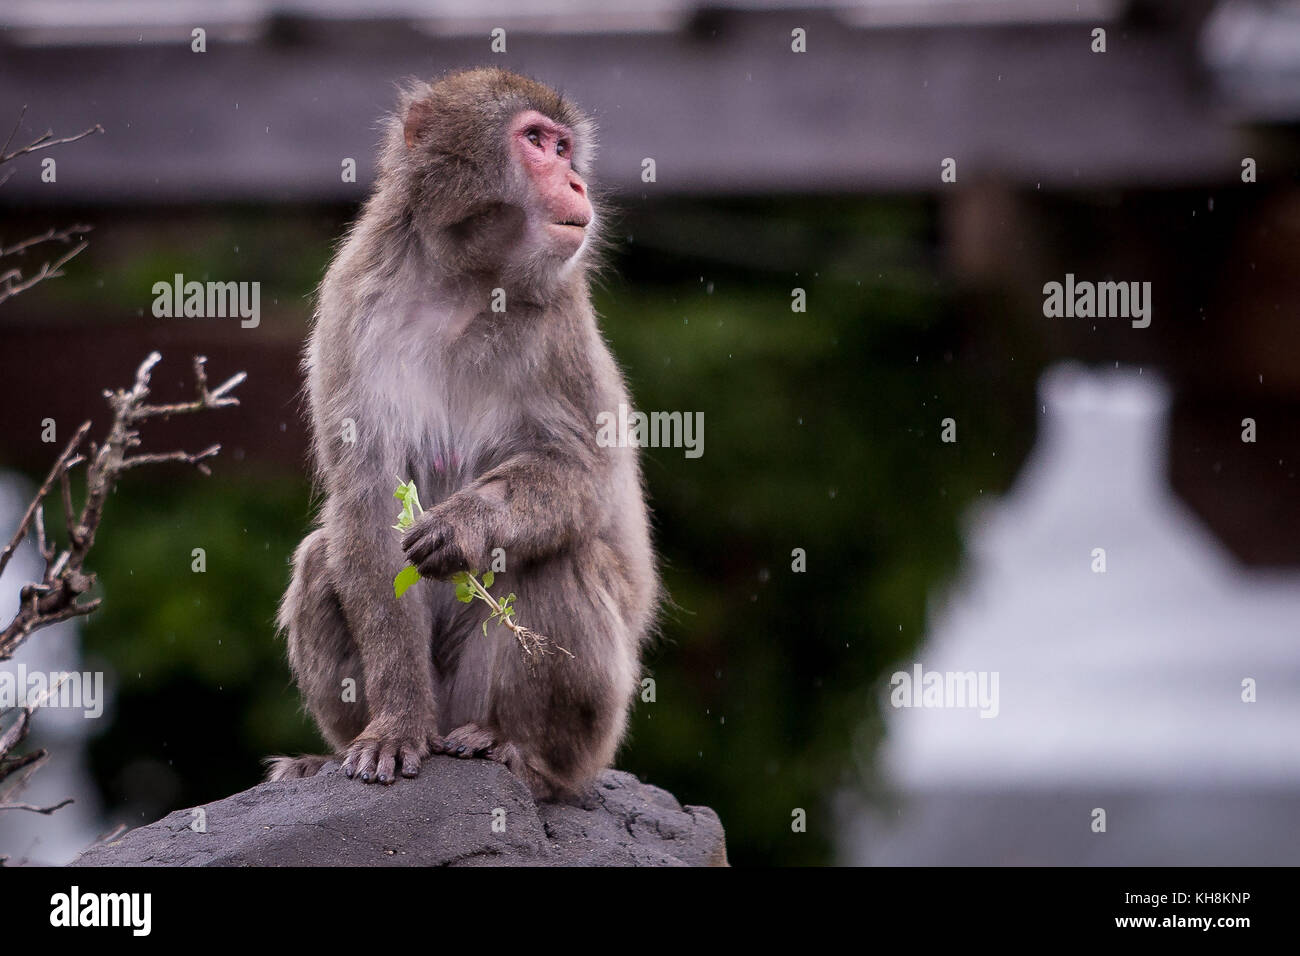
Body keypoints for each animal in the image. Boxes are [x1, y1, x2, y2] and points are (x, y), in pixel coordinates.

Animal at [264, 68, 658, 801]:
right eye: (537, 141)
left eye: (566, 147)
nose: (577, 182)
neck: (465, 283)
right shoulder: (352, 299)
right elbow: (367, 505)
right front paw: (395, 722)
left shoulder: (561, 319)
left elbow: (585, 477)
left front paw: (468, 522)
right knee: (321, 557)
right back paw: (327, 755)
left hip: (583, 721)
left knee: (562, 556)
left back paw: (524, 755)